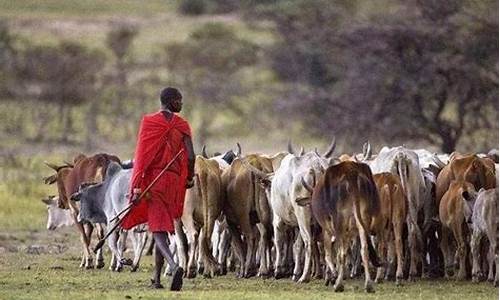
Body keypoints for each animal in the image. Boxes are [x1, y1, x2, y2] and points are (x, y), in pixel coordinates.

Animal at [296, 162, 382, 292]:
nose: (314, 226)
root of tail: (352, 173)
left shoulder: (327, 231)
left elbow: (328, 255)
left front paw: (332, 277)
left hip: (340, 222)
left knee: (342, 254)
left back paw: (339, 284)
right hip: (364, 220)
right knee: (364, 250)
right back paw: (368, 285)